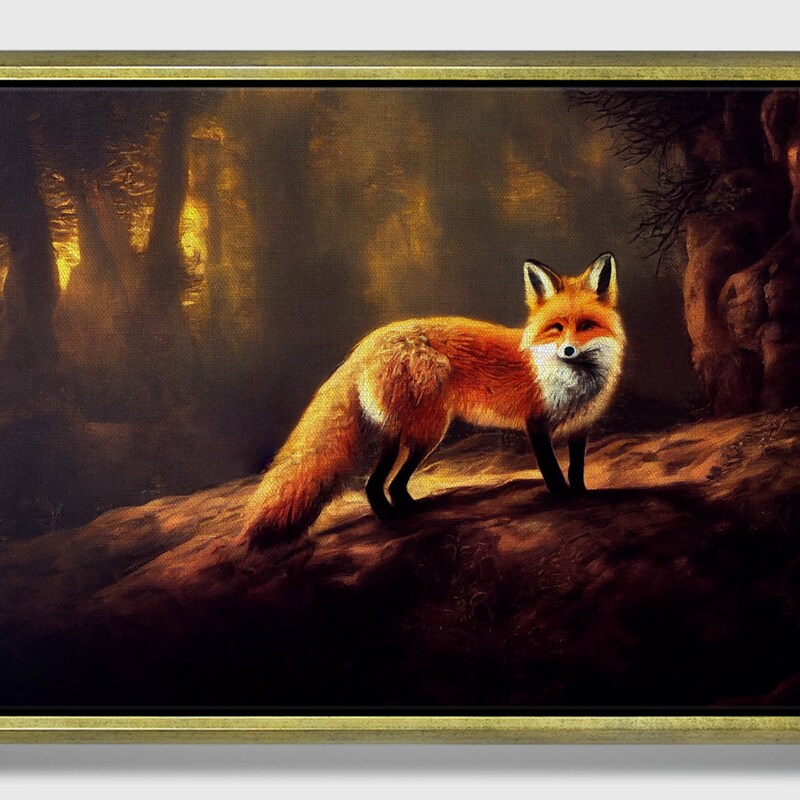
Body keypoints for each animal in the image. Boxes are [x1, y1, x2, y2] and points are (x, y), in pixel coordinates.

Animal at [242, 252, 625, 548]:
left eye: (586, 325)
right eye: (556, 327)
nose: (568, 350)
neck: (571, 377)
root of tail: (371, 342)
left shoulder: (580, 425)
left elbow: (576, 469)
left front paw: (581, 496)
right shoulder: (536, 424)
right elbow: (553, 470)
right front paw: (562, 498)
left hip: (418, 433)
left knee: (394, 485)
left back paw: (413, 509)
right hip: (423, 431)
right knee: (374, 484)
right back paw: (390, 519)